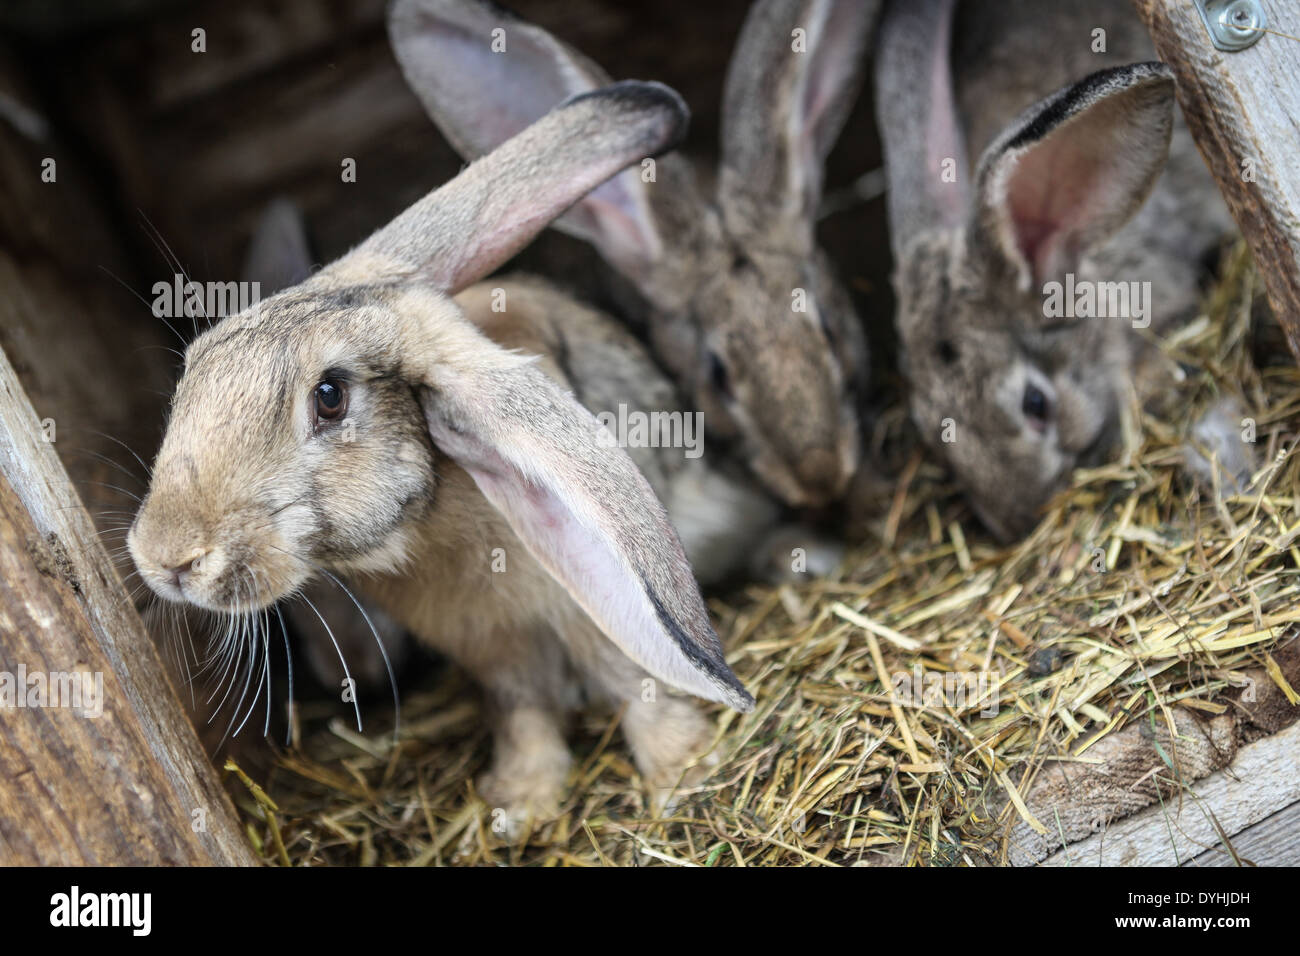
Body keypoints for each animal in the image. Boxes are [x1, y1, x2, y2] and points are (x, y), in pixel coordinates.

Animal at [127, 82, 757, 827]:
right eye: (195, 366)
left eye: (330, 397)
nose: (166, 557)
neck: (421, 535)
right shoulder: (495, 653)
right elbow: (522, 710)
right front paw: (519, 801)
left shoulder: (587, 610)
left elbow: (632, 681)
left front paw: (682, 770)